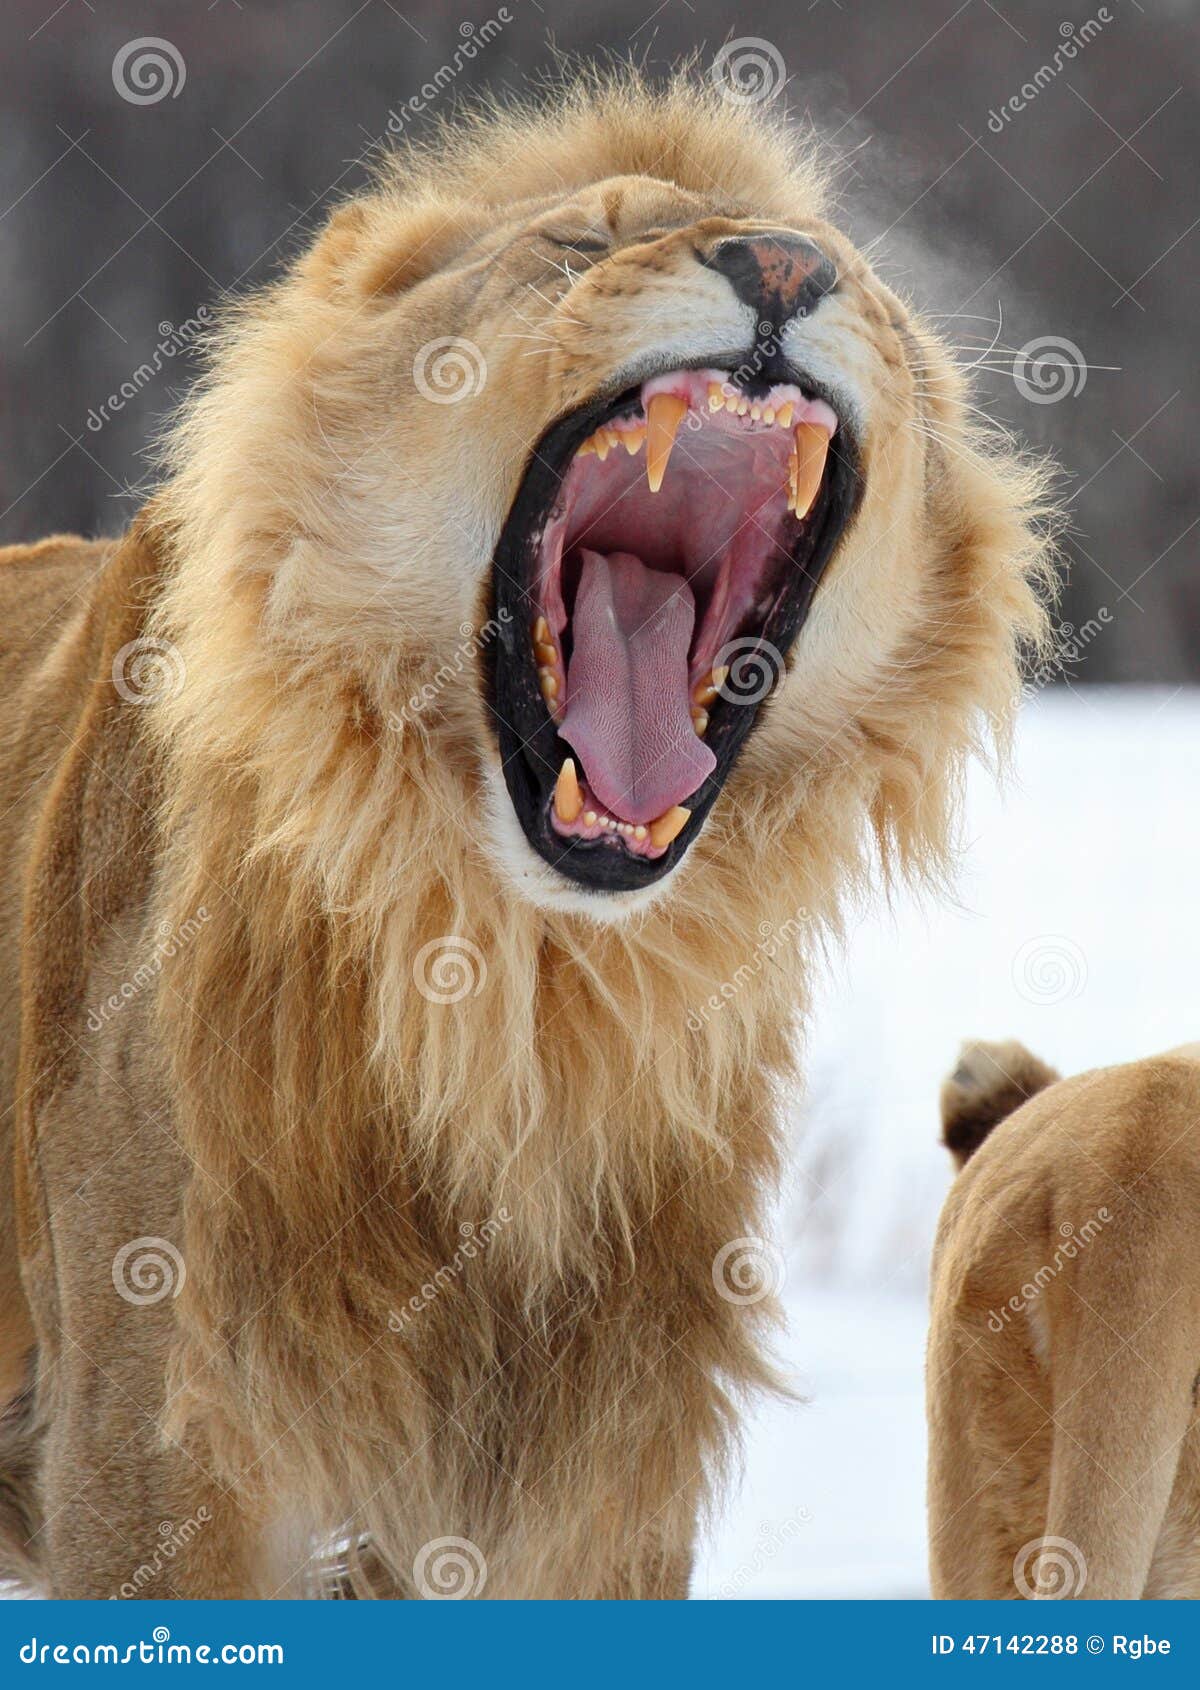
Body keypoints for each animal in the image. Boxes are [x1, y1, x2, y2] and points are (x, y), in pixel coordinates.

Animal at [0, 72, 1052, 1598]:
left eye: (869, 289)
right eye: (577, 246)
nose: (785, 268)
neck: (525, 989)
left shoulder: (596, 1483)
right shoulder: (148, 1452)